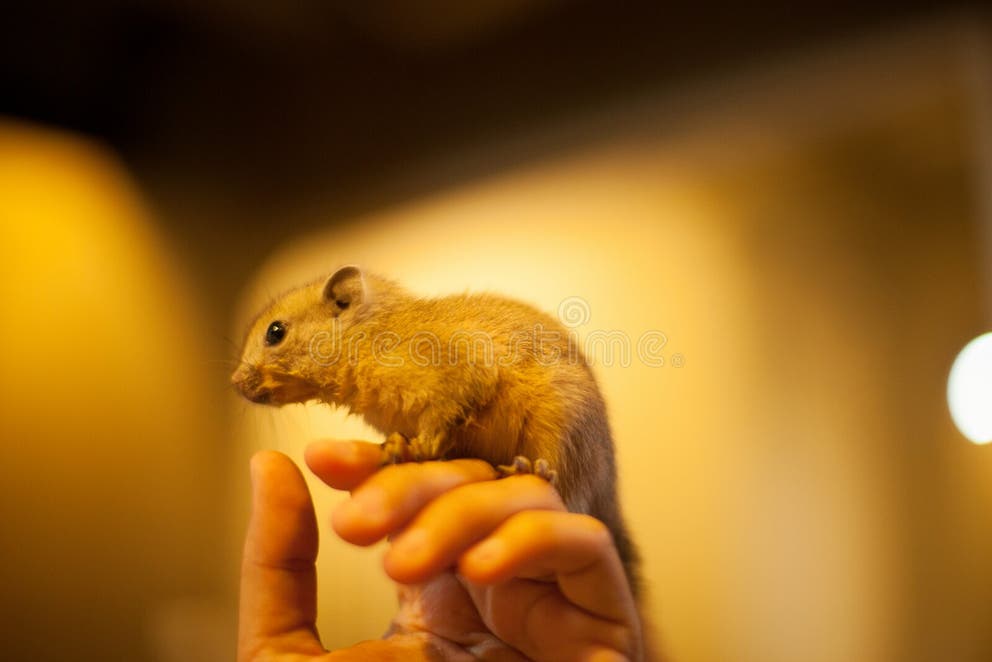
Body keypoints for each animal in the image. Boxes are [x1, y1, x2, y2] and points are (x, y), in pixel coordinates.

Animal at [231, 265, 642, 596]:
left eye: (275, 331)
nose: (235, 383)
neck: (370, 336)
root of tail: (609, 500)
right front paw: (398, 441)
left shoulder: (461, 371)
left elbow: (444, 420)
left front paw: (412, 449)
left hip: (562, 426)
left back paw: (531, 468)